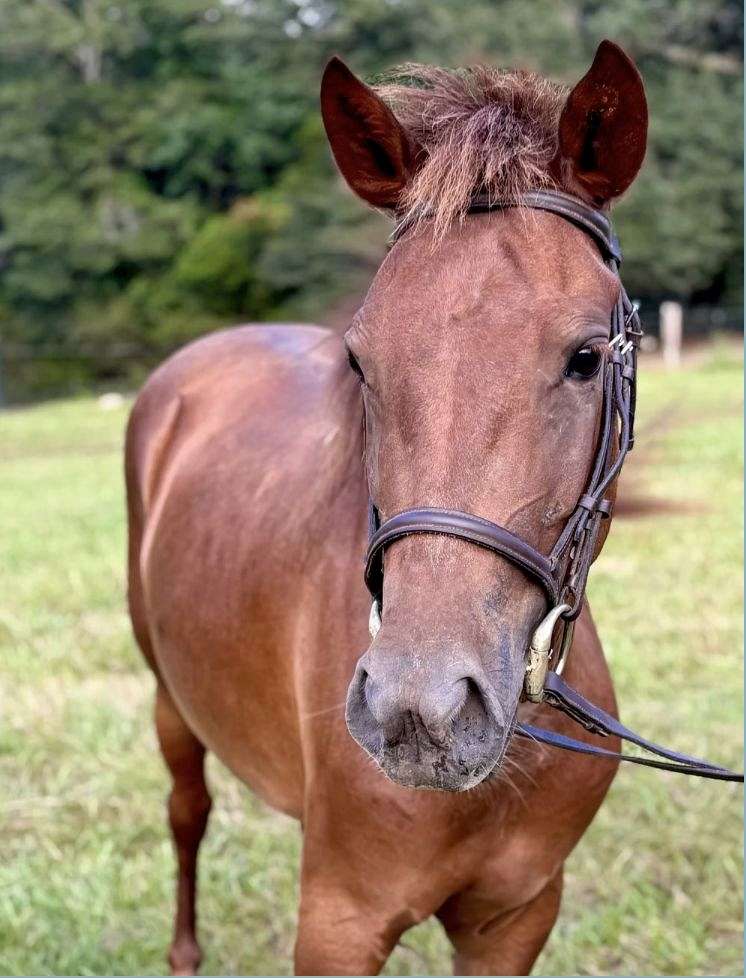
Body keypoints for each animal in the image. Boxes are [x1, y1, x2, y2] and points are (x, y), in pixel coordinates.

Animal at [126, 41, 649, 976]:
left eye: (588, 357)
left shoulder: (517, 917)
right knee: (188, 814)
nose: (421, 710)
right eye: (361, 361)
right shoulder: (341, 921)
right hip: (169, 699)